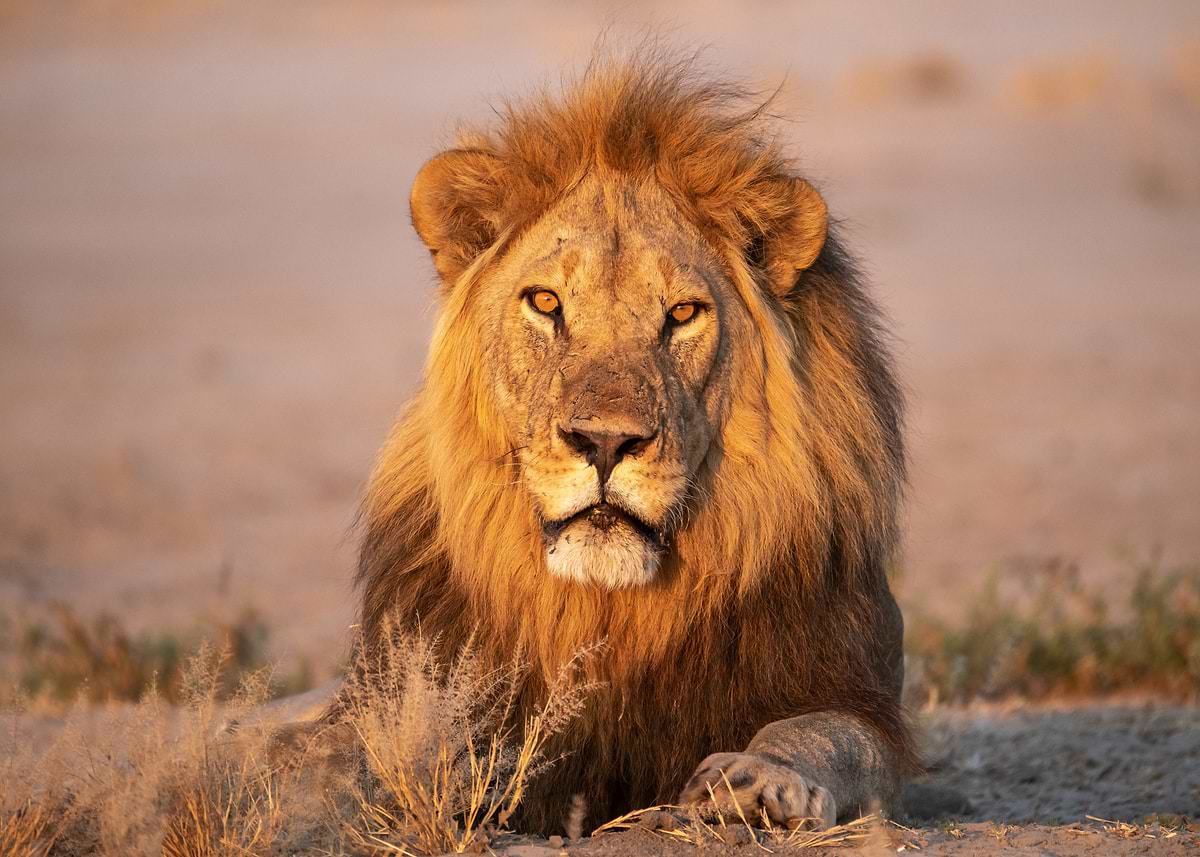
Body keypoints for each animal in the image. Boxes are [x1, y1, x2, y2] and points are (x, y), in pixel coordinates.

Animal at [347, 54, 915, 833]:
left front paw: (756, 780)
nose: (605, 441)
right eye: (546, 303)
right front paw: (448, 779)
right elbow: (420, 738)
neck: (612, 612)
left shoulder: (858, 689)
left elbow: (823, 732)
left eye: (683, 313)